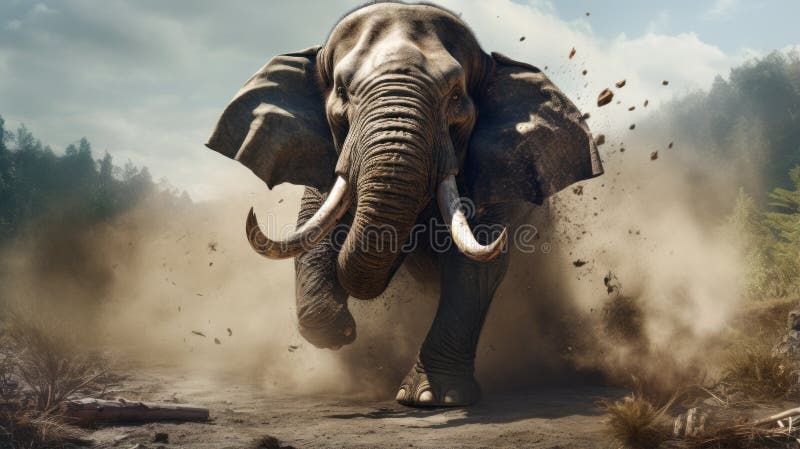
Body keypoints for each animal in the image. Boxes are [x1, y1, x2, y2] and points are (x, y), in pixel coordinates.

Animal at [205, 1, 603, 407]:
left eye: (455, 97)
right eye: (342, 91)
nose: (350, 328)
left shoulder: (498, 171)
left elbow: (475, 269)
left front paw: (430, 399)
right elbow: (316, 233)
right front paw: (340, 331)